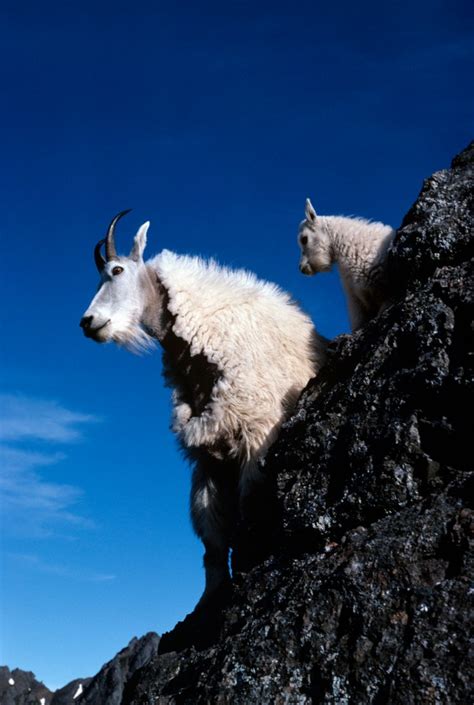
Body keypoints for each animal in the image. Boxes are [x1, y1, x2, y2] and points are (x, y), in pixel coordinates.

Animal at [81, 211, 327, 607]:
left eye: (116, 271)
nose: (89, 323)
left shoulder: (255, 435)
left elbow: (247, 514)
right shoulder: (208, 456)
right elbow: (212, 534)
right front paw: (210, 597)